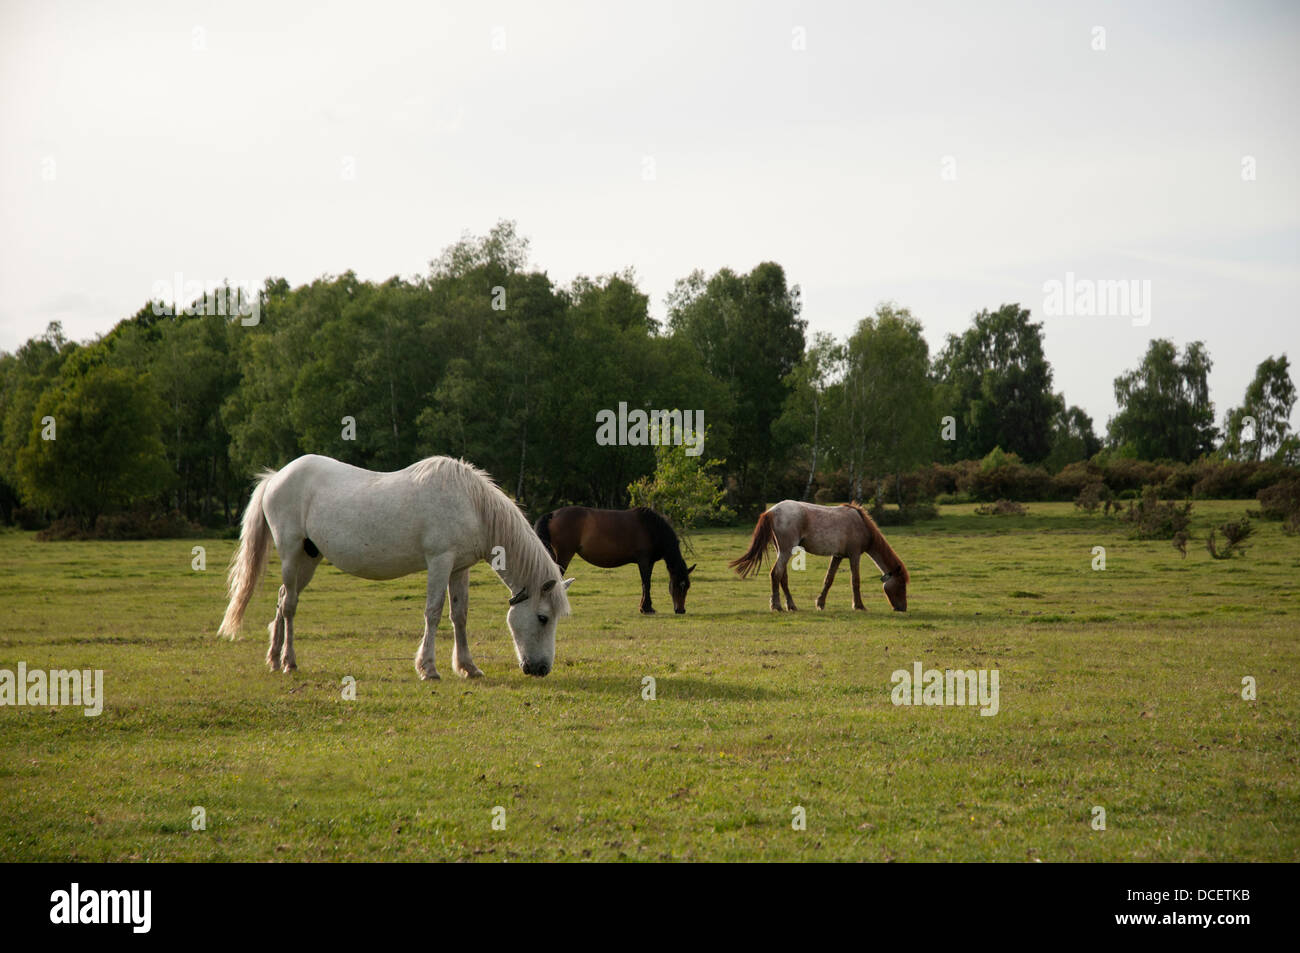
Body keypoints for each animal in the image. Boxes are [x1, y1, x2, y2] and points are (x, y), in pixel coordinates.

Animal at [218, 454, 574, 679]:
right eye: (543, 618)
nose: (541, 669)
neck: (472, 504)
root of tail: (276, 477)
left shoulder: (459, 568)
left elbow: (459, 615)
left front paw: (468, 667)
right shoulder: (439, 561)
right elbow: (433, 612)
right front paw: (428, 668)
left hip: (308, 558)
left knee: (282, 599)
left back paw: (274, 659)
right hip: (292, 554)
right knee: (290, 605)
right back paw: (289, 662)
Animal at [534, 506, 695, 614]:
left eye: (687, 586)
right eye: (679, 585)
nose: (681, 610)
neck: (651, 528)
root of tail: (553, 514)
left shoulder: (649, 563)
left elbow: (646, 583)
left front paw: (645, 607)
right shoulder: (644, 561)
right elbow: (646, 583)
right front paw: (646, 608)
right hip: (564, 555)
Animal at [729, 500, 908, 612]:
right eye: (901, 585)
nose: (902, 608)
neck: (861, 523)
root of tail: (771, 511)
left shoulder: (838, 556)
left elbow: (829, 579)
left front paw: (820, 603)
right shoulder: (854, 555)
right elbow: (855, 581)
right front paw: (859, 605)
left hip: (781, 550)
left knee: (782, 578)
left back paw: (791, 605)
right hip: (786, 550)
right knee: (776, 574)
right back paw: (777, 606)